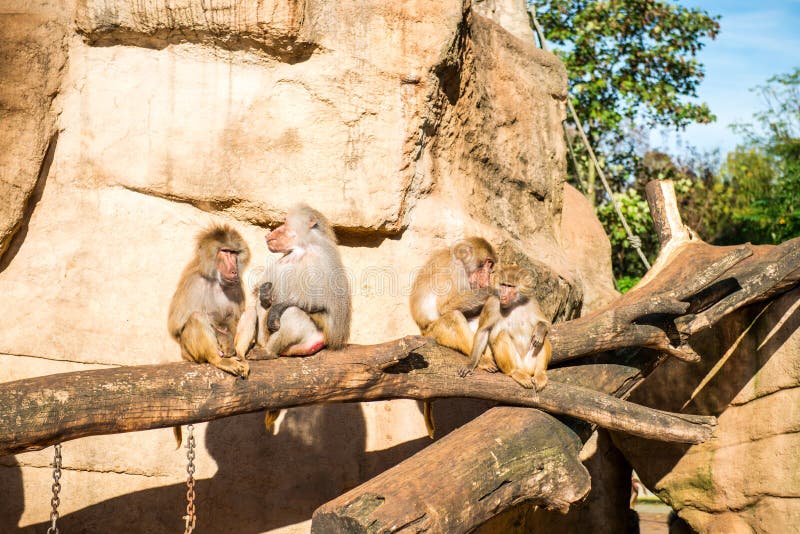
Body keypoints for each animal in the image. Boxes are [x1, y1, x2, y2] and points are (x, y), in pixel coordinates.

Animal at [409, 237, 498, 437]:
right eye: (488, 264)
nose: (489, 276)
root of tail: (422, 332)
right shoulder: (456, 271)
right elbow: (446, 306)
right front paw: (495, 290)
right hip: (436, 333)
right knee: (453, 316)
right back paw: (481, 361)